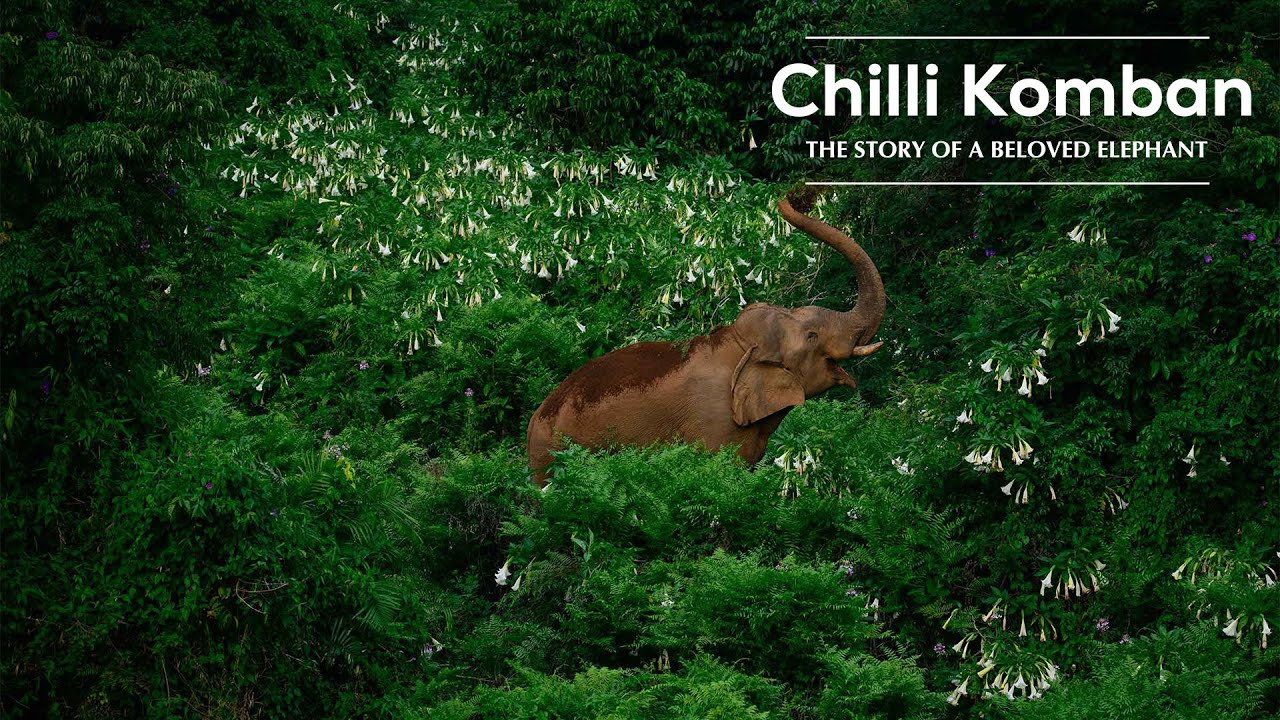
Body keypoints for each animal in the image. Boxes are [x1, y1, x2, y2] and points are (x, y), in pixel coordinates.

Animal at [526, 191, 885, 486]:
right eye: (811, 336)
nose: (792, 194)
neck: (738, 345)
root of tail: (534, 419)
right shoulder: (713, 422)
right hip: (548, 457)